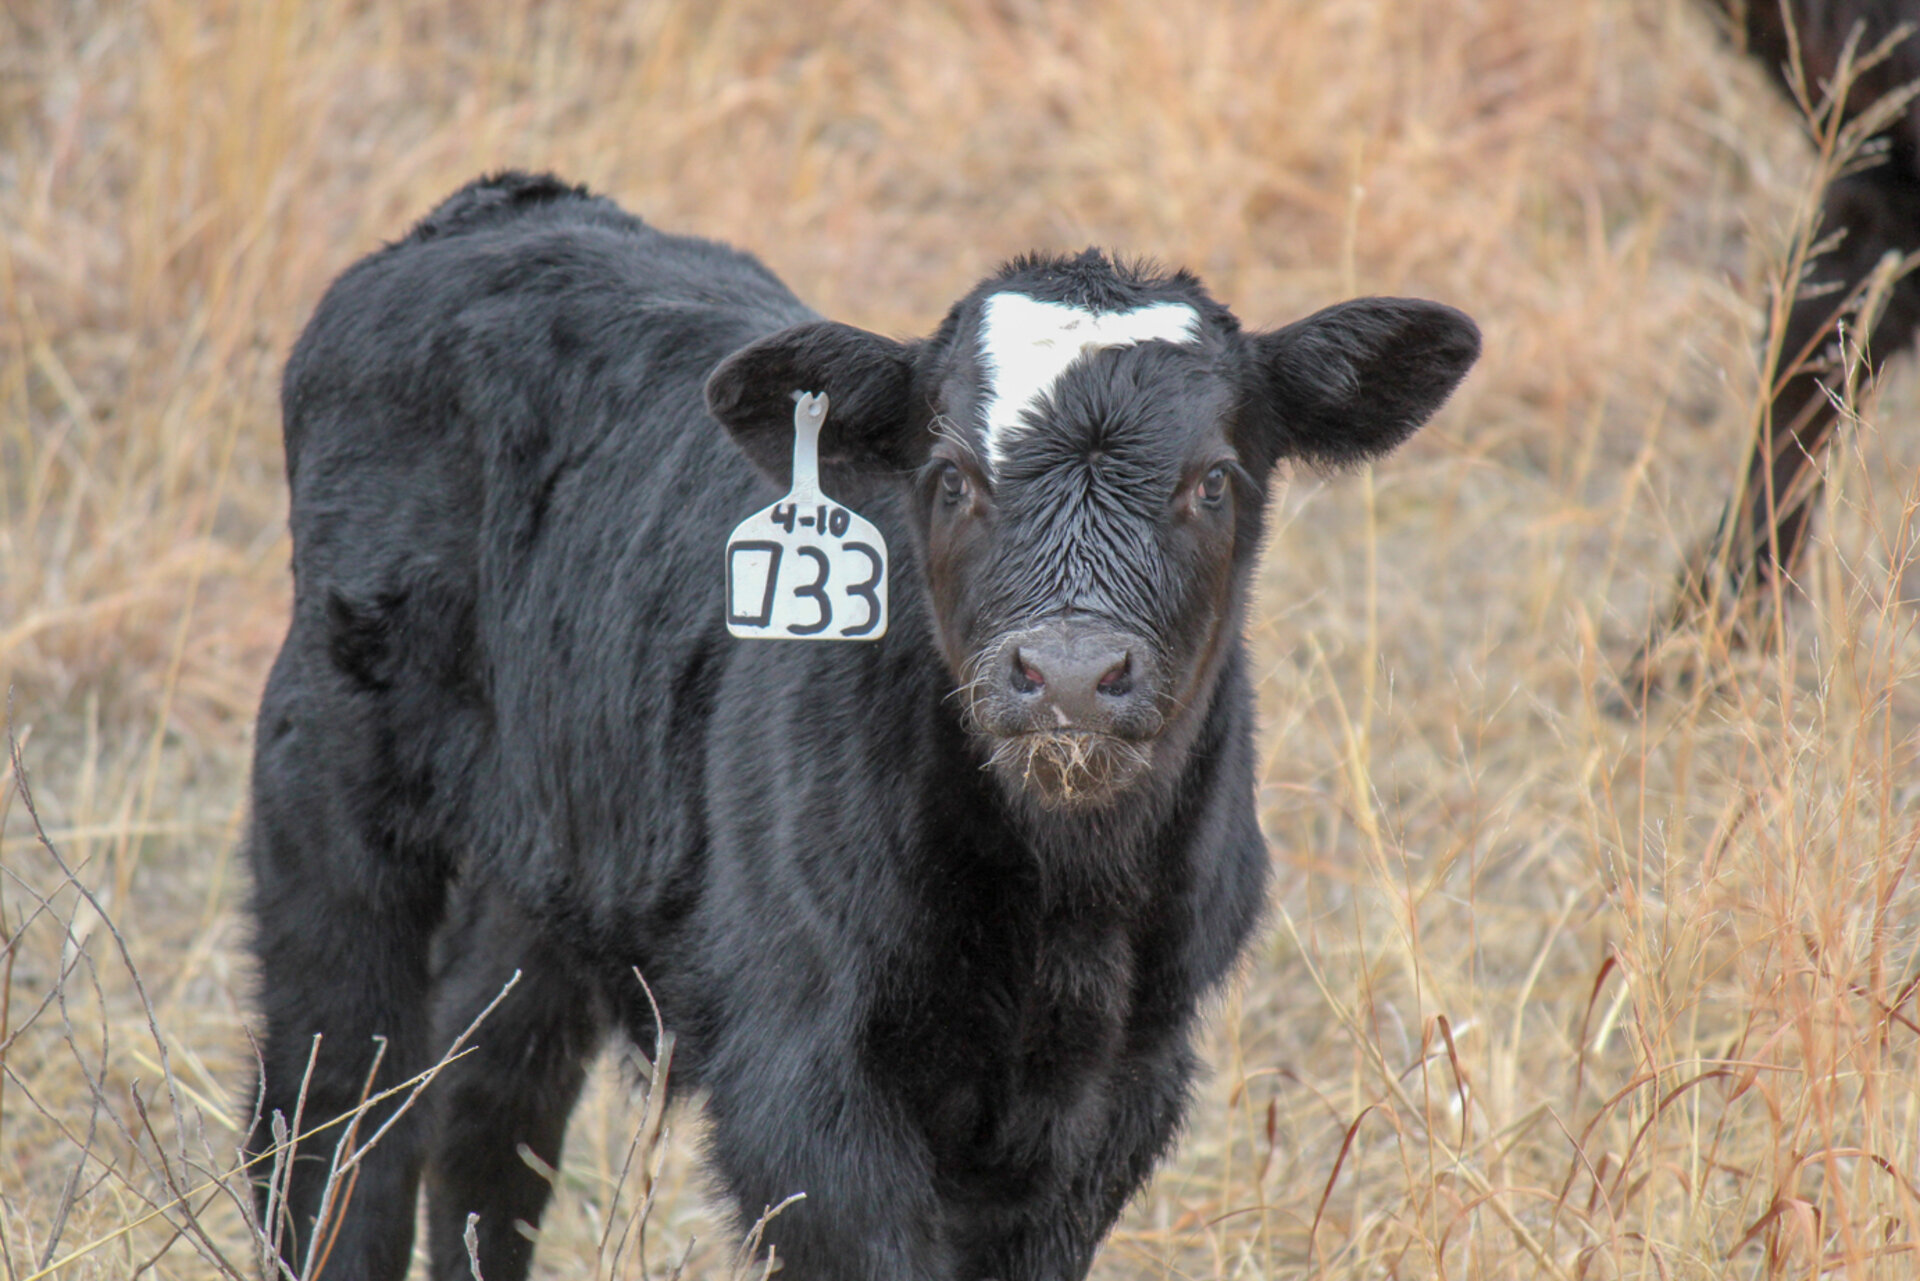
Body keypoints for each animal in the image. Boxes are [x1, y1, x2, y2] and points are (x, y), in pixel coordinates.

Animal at [245, 170, 1479, 1281]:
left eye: (1214, 482)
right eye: (951, 478)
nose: (1071, 676)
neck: (1062, 910)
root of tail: (502, 208)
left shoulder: (1124, 1084)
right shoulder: (801, 1077)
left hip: (552, 845)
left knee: (484, 1098)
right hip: (326, 765)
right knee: (333, 1107)